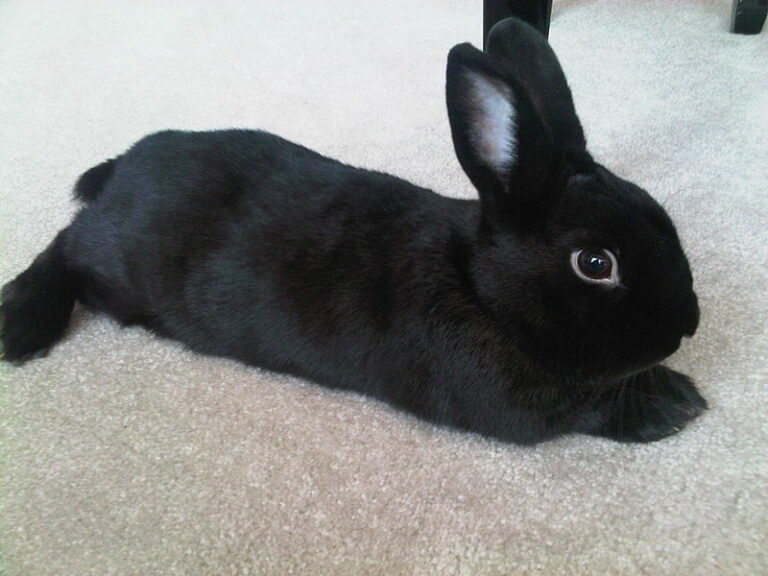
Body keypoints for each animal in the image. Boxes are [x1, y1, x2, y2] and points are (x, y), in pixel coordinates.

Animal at [0, 18, 706, 444]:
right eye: (595, 263)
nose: (688, 325)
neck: (479, 290)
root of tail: (120, 170)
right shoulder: (516, 409)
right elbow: (590, 407)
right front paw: (676, 403)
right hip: (117, 265)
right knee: (65, 245)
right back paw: (21, 324)